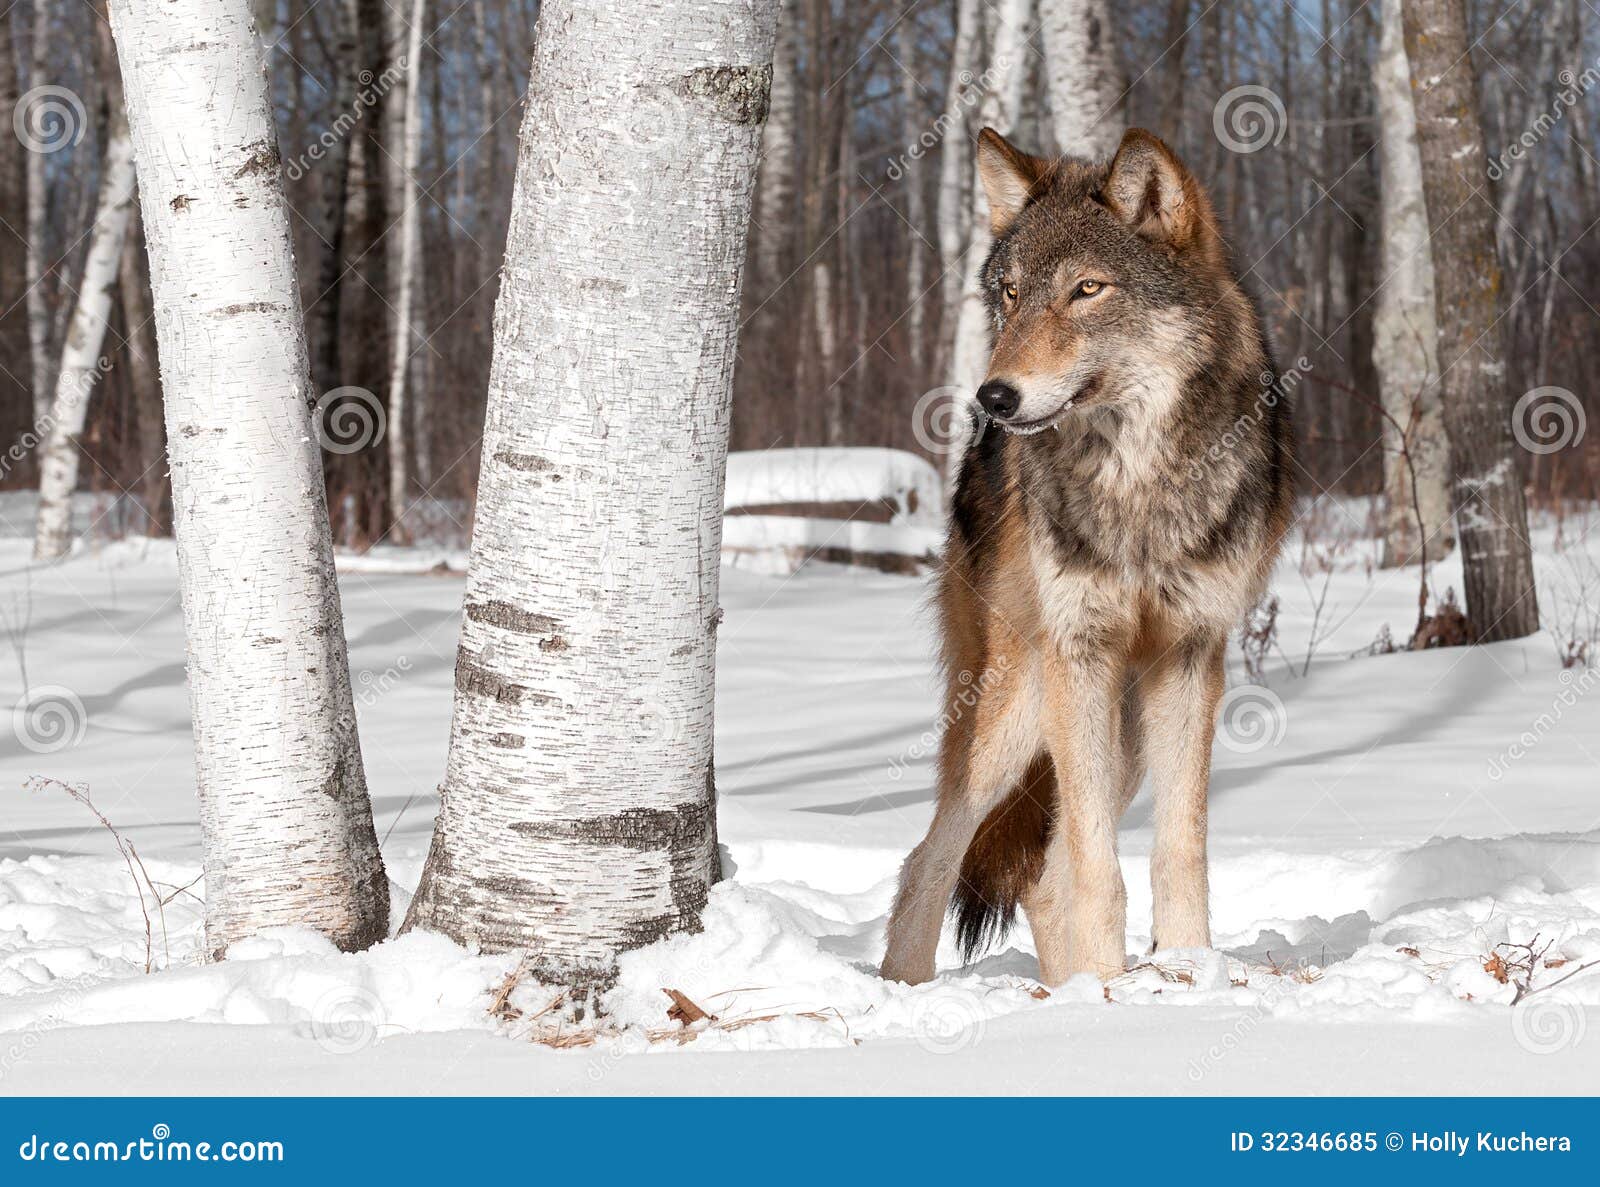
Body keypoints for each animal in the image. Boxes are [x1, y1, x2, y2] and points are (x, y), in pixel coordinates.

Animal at [880, 127, 1294, 986]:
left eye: (1087, 290)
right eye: (1008, 293)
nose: (993, 397)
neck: (1136, 481)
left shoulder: (1190, 655)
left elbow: (1178, 851)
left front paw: (1187, 972)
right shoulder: (1081, 650)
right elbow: (1100, 868)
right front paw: (1111, 990)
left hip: (1120, 730)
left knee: (1042, 875)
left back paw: (1066, 986)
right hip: (1019, 710)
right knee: (930, 858)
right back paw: (906, 988)